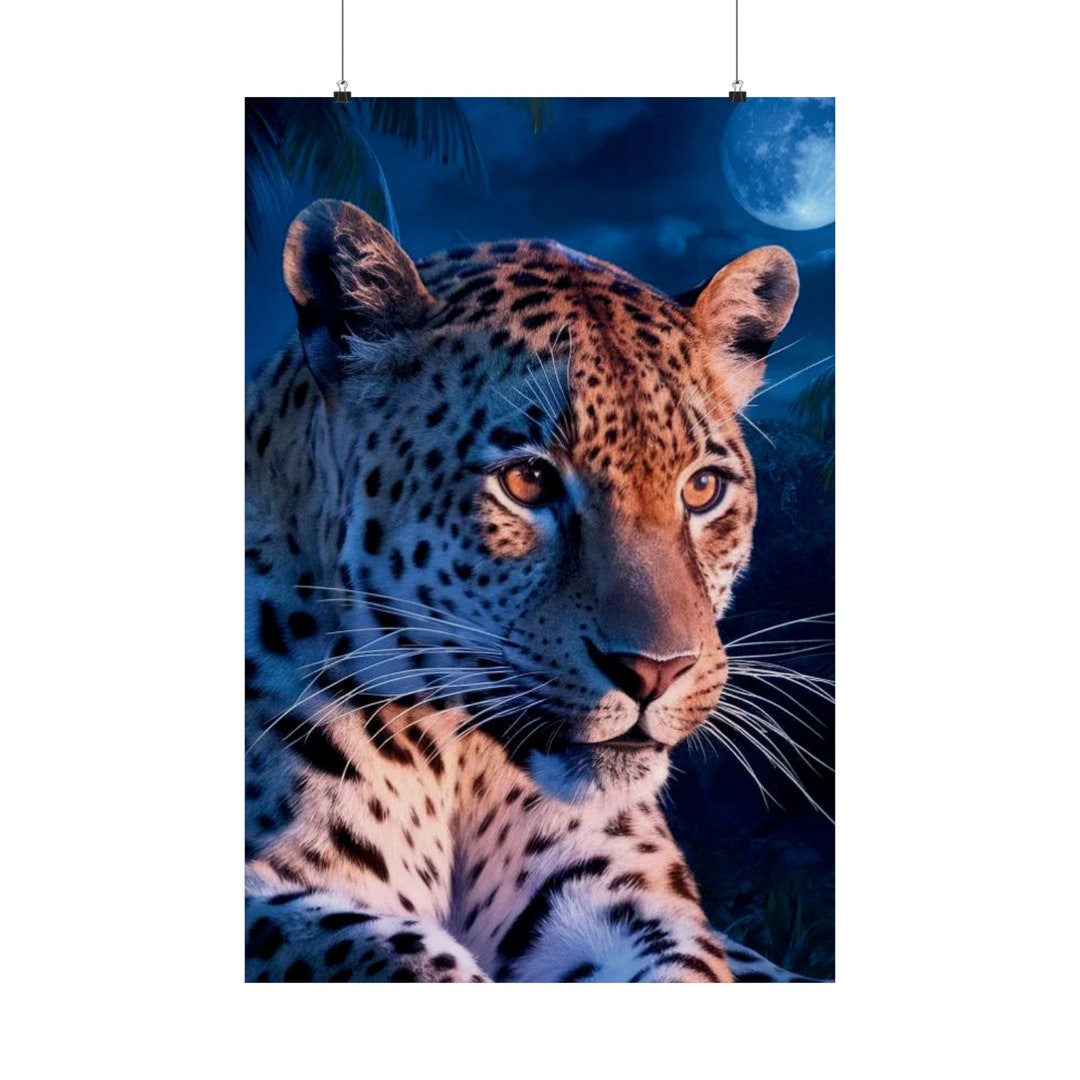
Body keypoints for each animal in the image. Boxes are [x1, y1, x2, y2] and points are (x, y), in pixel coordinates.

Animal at [245, 197, 809, 982]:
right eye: (528, 480)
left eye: (702, 489)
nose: (655, 672)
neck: (457, 765)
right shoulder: (270, 893)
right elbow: (394, 954)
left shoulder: (610, 887)